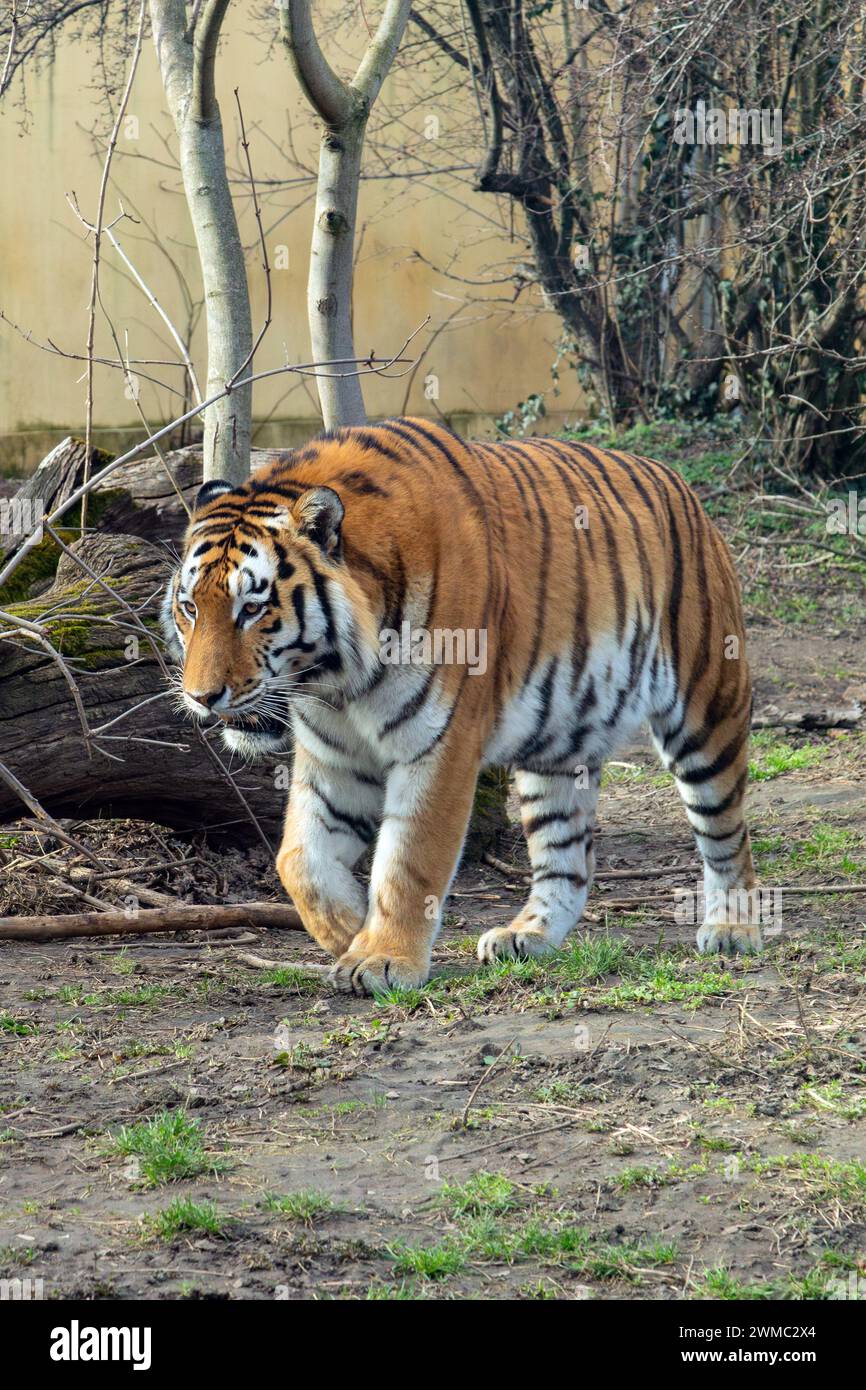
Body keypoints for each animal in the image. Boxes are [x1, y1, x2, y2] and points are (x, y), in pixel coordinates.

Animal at [163, 416, 760, 995]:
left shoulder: (439, 744)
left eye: (252, 608)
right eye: (190, 607)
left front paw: (382, 958)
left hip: (706, 713)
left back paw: (733, 928)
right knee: (567, 859)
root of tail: (682, 487)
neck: (338, 681)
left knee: (727, 833)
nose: (201, 696)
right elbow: (297, 858)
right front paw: (348, 928)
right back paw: (529, 936)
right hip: (557, 748)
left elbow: (409, 861)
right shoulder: (333, 756)